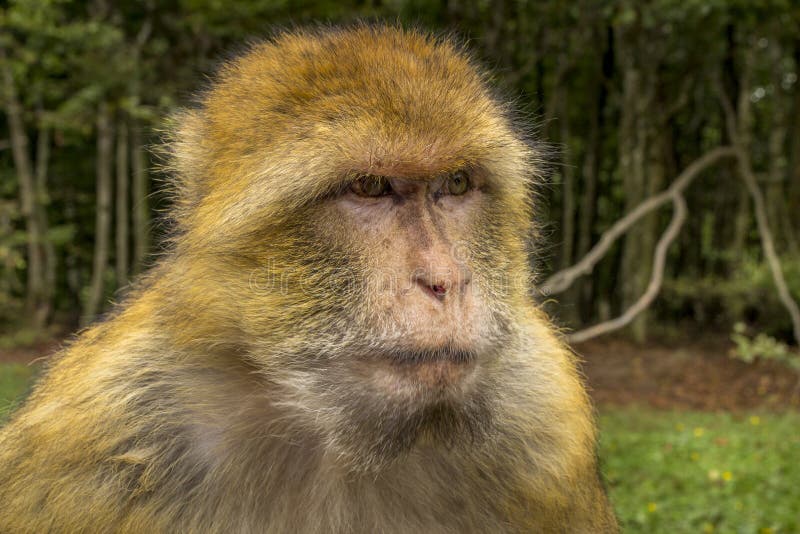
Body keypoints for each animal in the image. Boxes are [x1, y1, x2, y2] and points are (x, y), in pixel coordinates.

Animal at [0, 25, 618, 533]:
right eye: (369, 187)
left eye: (457, 183)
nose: (445, 281)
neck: (326, 428)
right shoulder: (94, 433)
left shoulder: (545, 423)